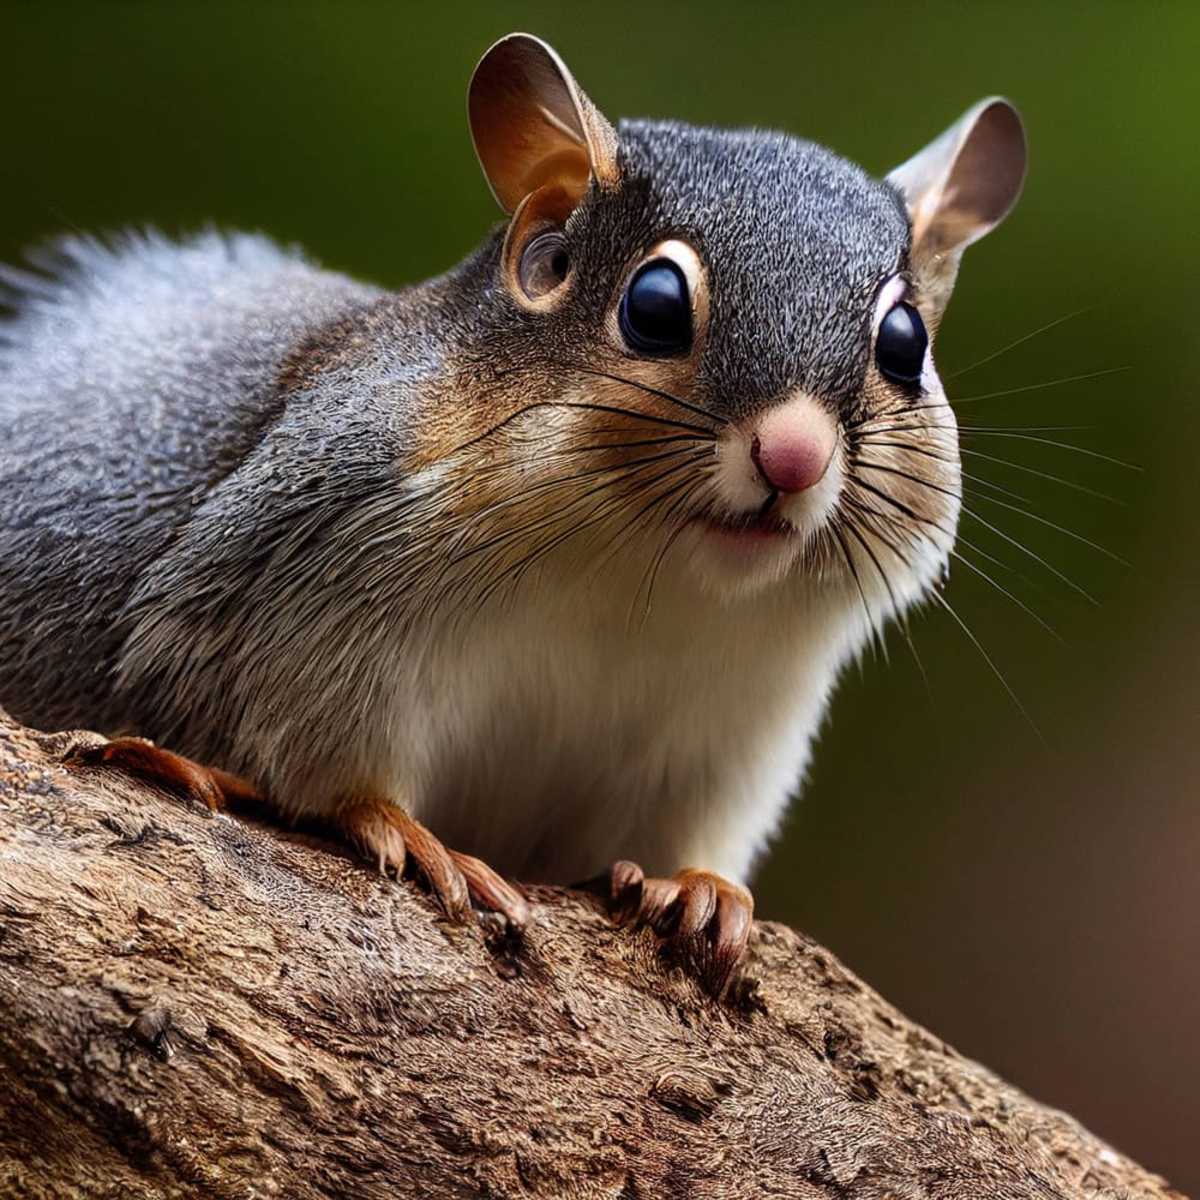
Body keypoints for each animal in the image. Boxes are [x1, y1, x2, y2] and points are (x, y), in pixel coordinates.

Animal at [0, 34, 1025, 995]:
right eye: (655, 305)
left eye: (905, 343)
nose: (794, 456)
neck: (641, 587)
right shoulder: (290, 585)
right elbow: (301, 747)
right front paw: (408, 832)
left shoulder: (722, 738)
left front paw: (696, 887)